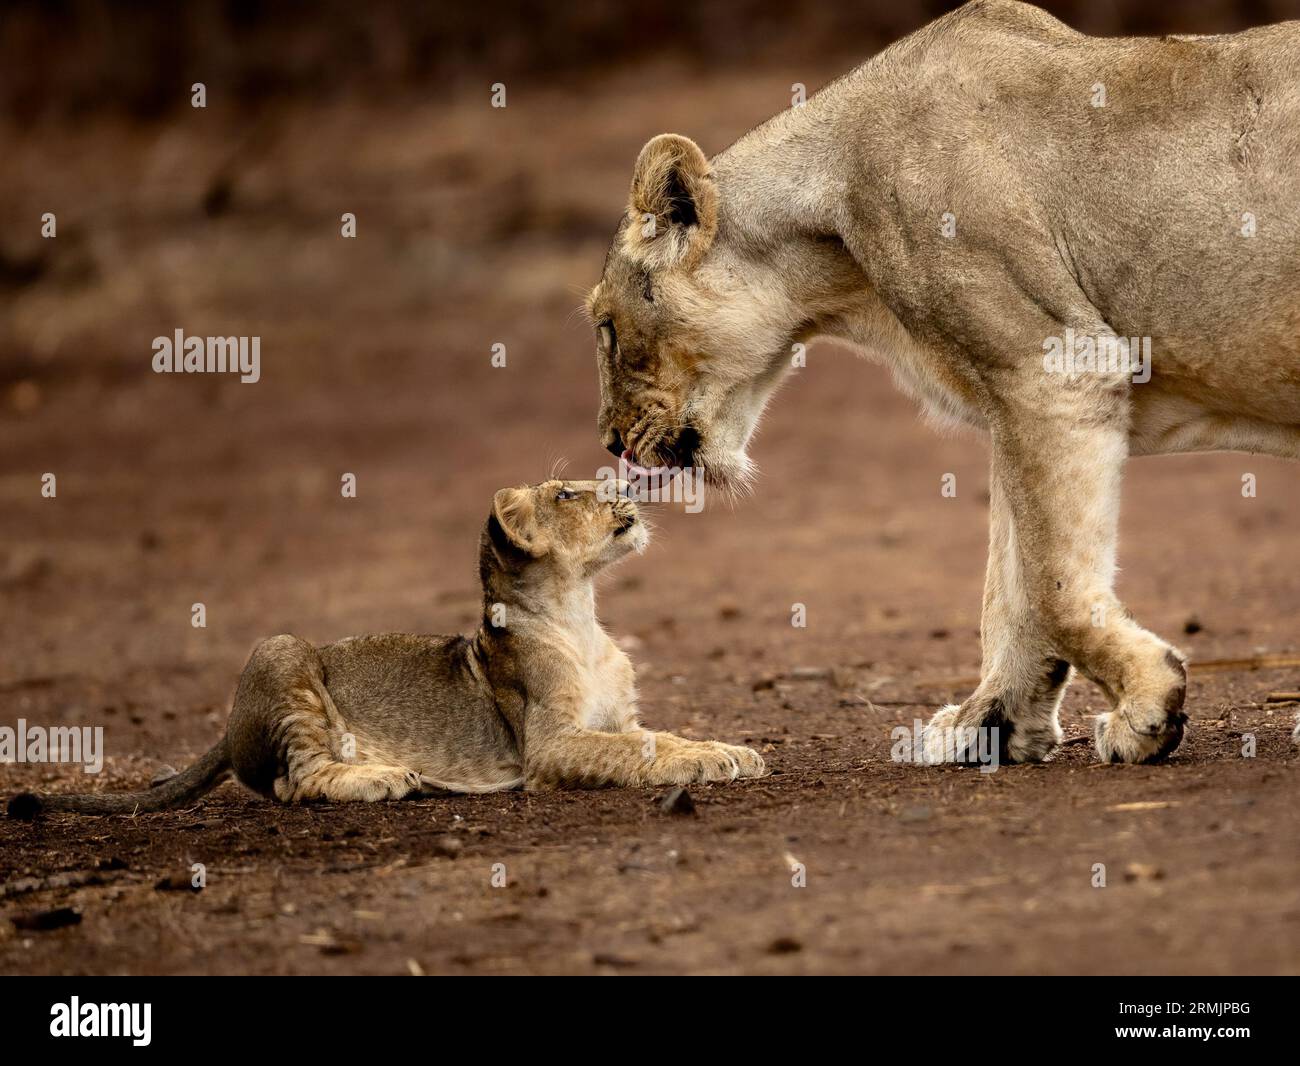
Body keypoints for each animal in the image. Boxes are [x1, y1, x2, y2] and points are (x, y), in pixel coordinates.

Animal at [7, 481, 763, 817]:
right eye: (569, 494)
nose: (628, 484)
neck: (579, 613)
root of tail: (228, 731)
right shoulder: (548, 747)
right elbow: (635, 754)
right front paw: (709, 762)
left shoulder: (620, 719)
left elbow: (658, 738)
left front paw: (729, 751)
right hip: (281, 650)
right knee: (296, 781)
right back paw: (381, 778)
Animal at [585, 0, 1300, 763]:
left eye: (605, 326)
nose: (610, 443)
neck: (837, 250)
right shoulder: (1017, 395)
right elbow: (1011, 583)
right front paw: (989, 722)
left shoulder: (1053, 365)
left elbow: (1049, 588)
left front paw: (1146, 708)